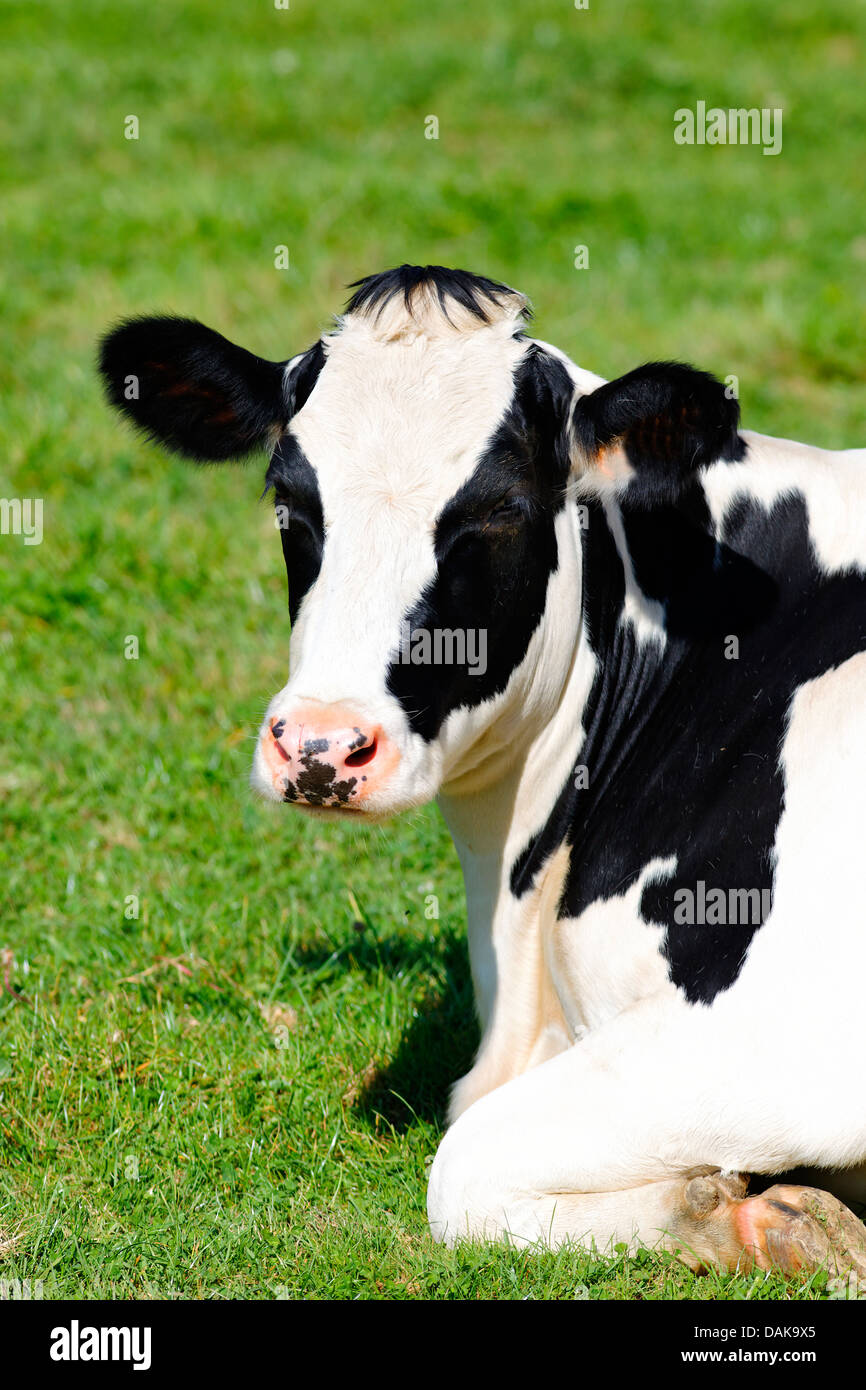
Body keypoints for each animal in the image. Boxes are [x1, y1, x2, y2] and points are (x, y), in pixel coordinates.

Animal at [99, 265, 866, 1278]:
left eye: (499, 512)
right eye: (288, 500)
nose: (320, 746)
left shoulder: (779, 1035)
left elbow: (463, 1168)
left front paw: (755, 1217)